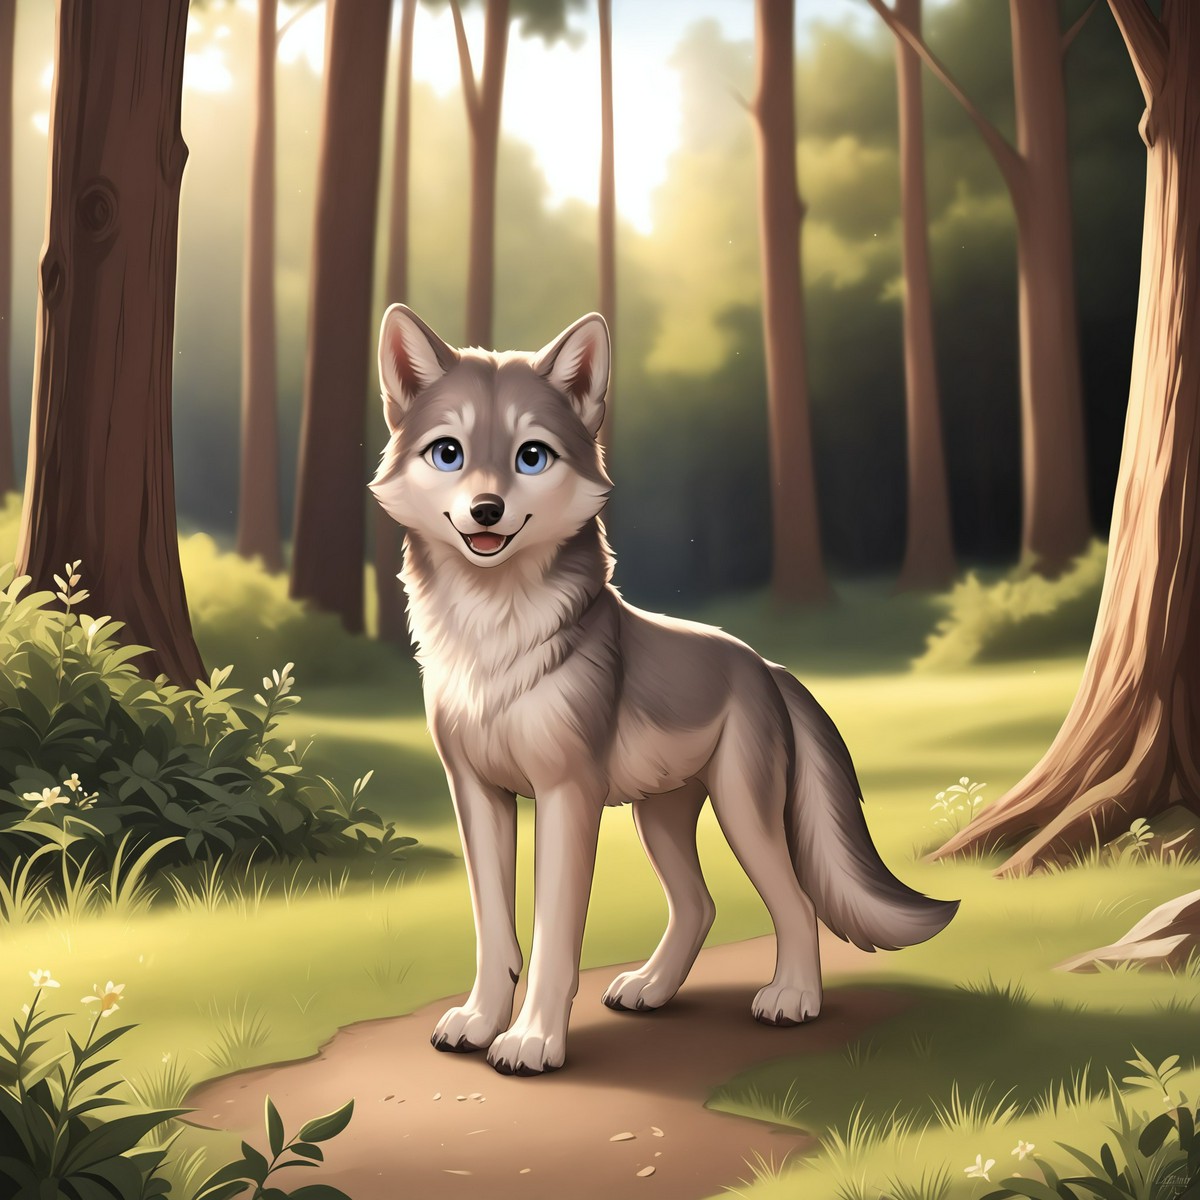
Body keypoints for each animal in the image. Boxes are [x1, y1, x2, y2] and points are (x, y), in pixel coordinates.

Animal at [369, 304, 958, 1076]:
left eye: (532, 456)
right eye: (448, 453)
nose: (488, 509)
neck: (493, 639)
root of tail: (765, 666)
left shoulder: (567, 795)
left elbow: (555, 934)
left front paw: (531, 1041)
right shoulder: (478, 794)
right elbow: (494, 930)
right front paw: (478, 1022)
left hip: (741, 812)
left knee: (795, 904)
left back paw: (792, 999)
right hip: (660, 817)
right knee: (699, 906)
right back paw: (649, 988)